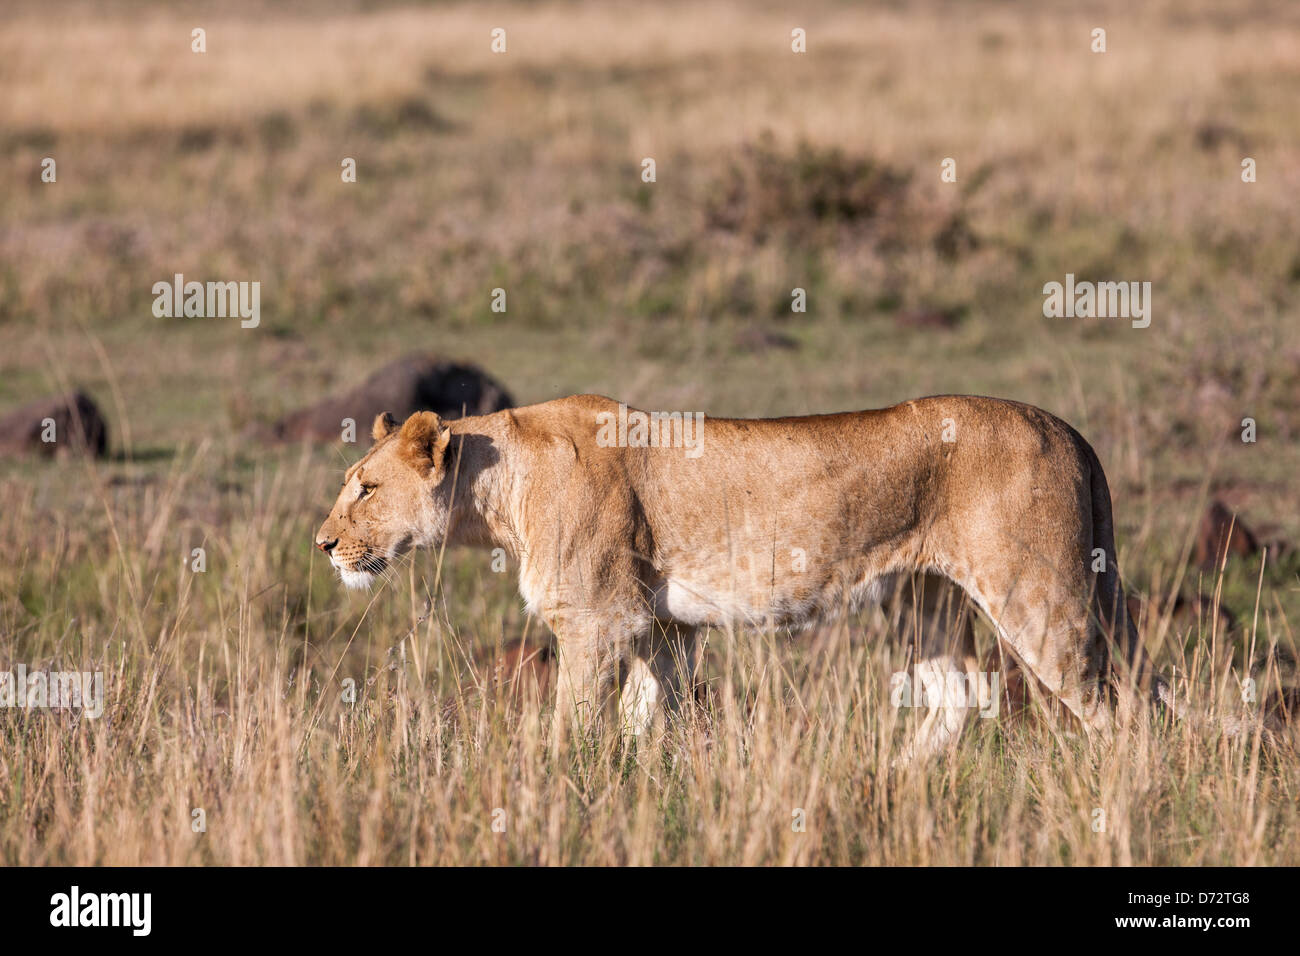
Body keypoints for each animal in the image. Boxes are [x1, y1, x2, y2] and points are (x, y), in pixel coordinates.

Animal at [315, 394, 1169, 759]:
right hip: (928, 598)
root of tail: (1068, 429)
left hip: (1040, 594)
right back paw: (887, 782)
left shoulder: (595, 619)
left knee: (1120, 709)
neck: (500, 484)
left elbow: (573, 725)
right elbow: (646, 719)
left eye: (365, 487)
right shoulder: (661, 627)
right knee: (964, 694)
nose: (323, 544)